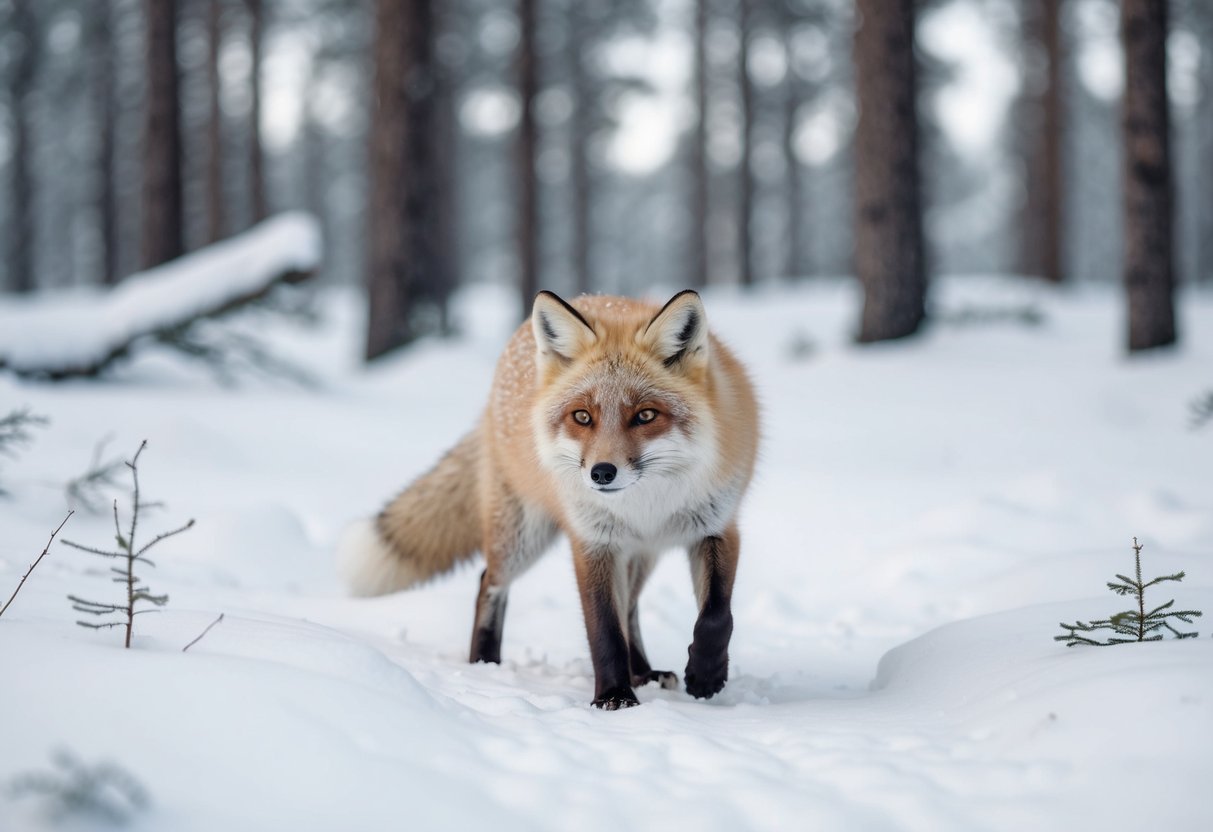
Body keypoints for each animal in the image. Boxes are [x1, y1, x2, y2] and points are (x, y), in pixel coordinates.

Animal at [339, 289, 759, 709]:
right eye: (583, 417)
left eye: (645, 415)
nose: (601, 473)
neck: (645, 507)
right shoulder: (592, 541)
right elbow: (604, 628)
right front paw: (614, 698)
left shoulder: (717, 526)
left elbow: (716, 615)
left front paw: (705, 675)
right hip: (521, 538)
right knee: (488, 581)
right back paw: (485, 665)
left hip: (640, 554)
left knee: (631, 608)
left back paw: (643, 672)